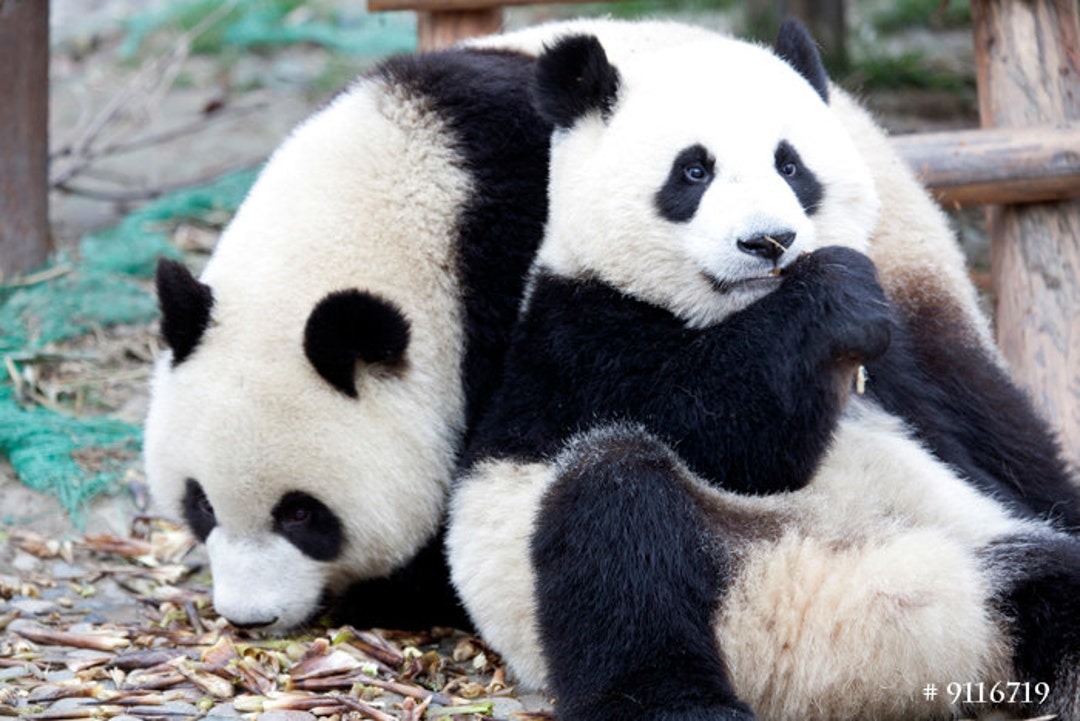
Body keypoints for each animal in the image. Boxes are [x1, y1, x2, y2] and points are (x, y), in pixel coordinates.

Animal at [447, 20, 1080, 721]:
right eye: (694, 170)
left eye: (790, 164)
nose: (768, 242)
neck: (746, 309)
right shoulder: (584, 339)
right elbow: (735, 436)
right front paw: (835, 298)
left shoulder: (901, 376)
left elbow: (973, 437)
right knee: (613, 519)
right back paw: (678, 702)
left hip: (977, 538)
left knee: (1050, 578)